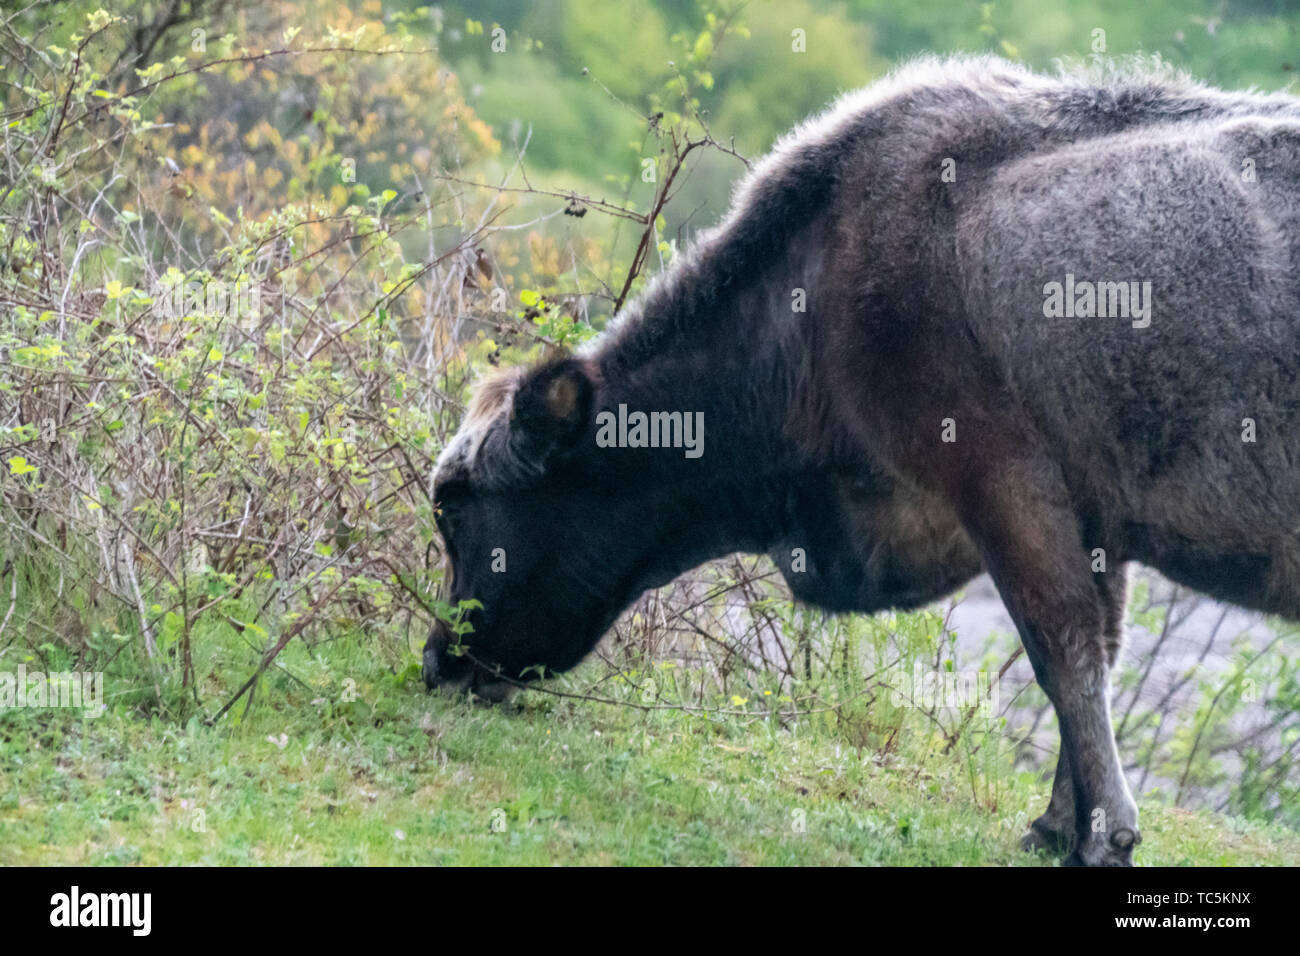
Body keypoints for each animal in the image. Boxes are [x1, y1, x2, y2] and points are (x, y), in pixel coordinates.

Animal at [424, 55, 1300, 866]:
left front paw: (1102, 835)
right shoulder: (1085, 508)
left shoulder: (1003, 477)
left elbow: (1063, 652)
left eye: (453, 507)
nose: (436, 660)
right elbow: (1099, 654)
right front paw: (1059, 824)